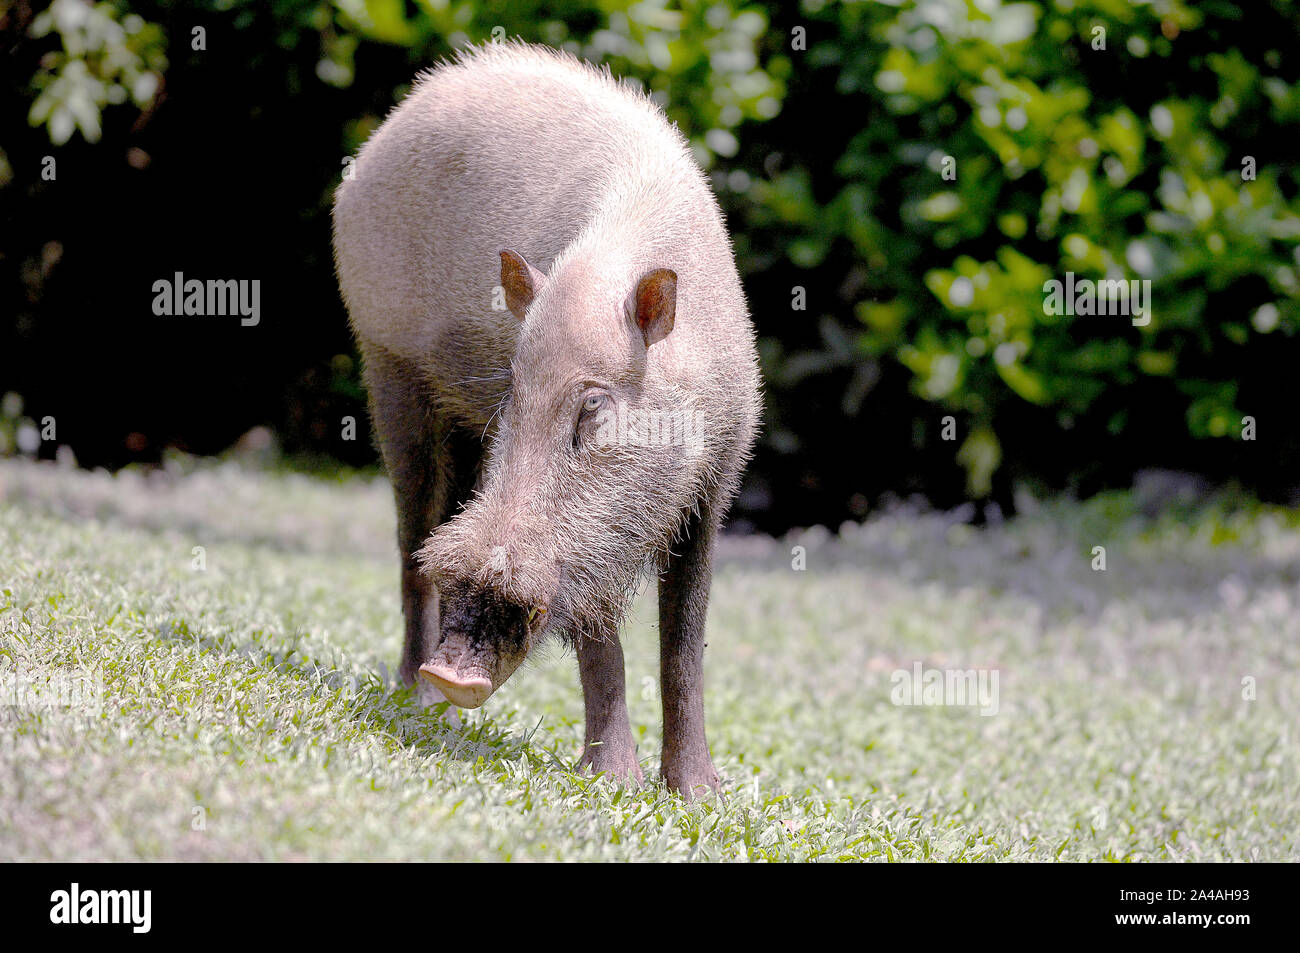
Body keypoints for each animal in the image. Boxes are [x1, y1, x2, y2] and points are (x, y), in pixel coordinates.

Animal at [331, 41, 761, 798]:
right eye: (514, 394)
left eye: (593, 408)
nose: (456, 671)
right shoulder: (586, 543)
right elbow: (601, 640)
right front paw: (615, 783)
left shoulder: (719, 472)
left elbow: (685, 640)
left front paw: (700, 795)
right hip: (386, 358)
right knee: (413, 537)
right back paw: (415, 697)